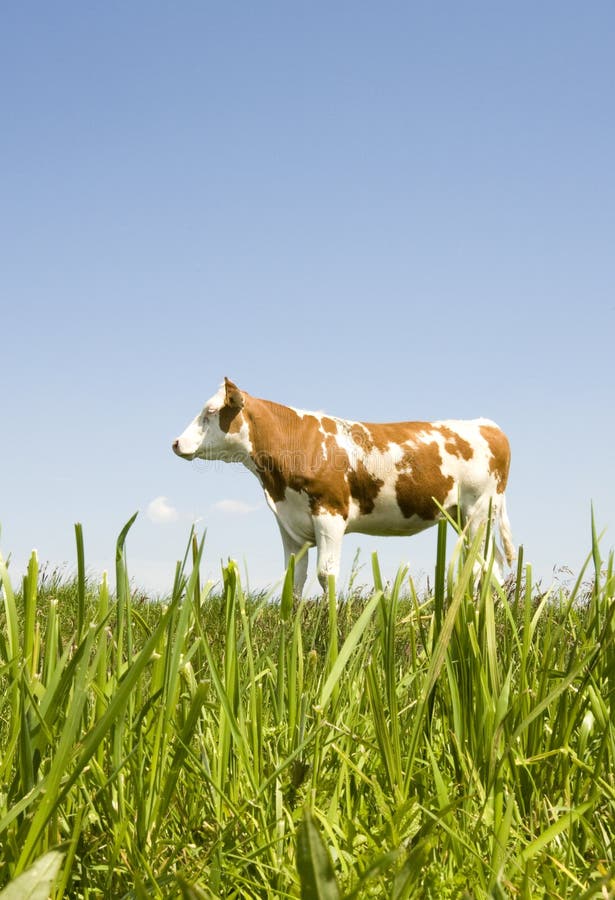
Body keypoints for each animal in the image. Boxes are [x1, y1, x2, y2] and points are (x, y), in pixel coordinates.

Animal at [173, 378, 515, 596]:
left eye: (210, 412)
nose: (176, 443)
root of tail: (485, 424)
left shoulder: (329, 513)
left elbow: (327, 575)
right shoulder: (287, 522)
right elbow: (293, 580)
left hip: (479, 511)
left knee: (484, 567)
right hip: (463, 517)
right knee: (491, 565)